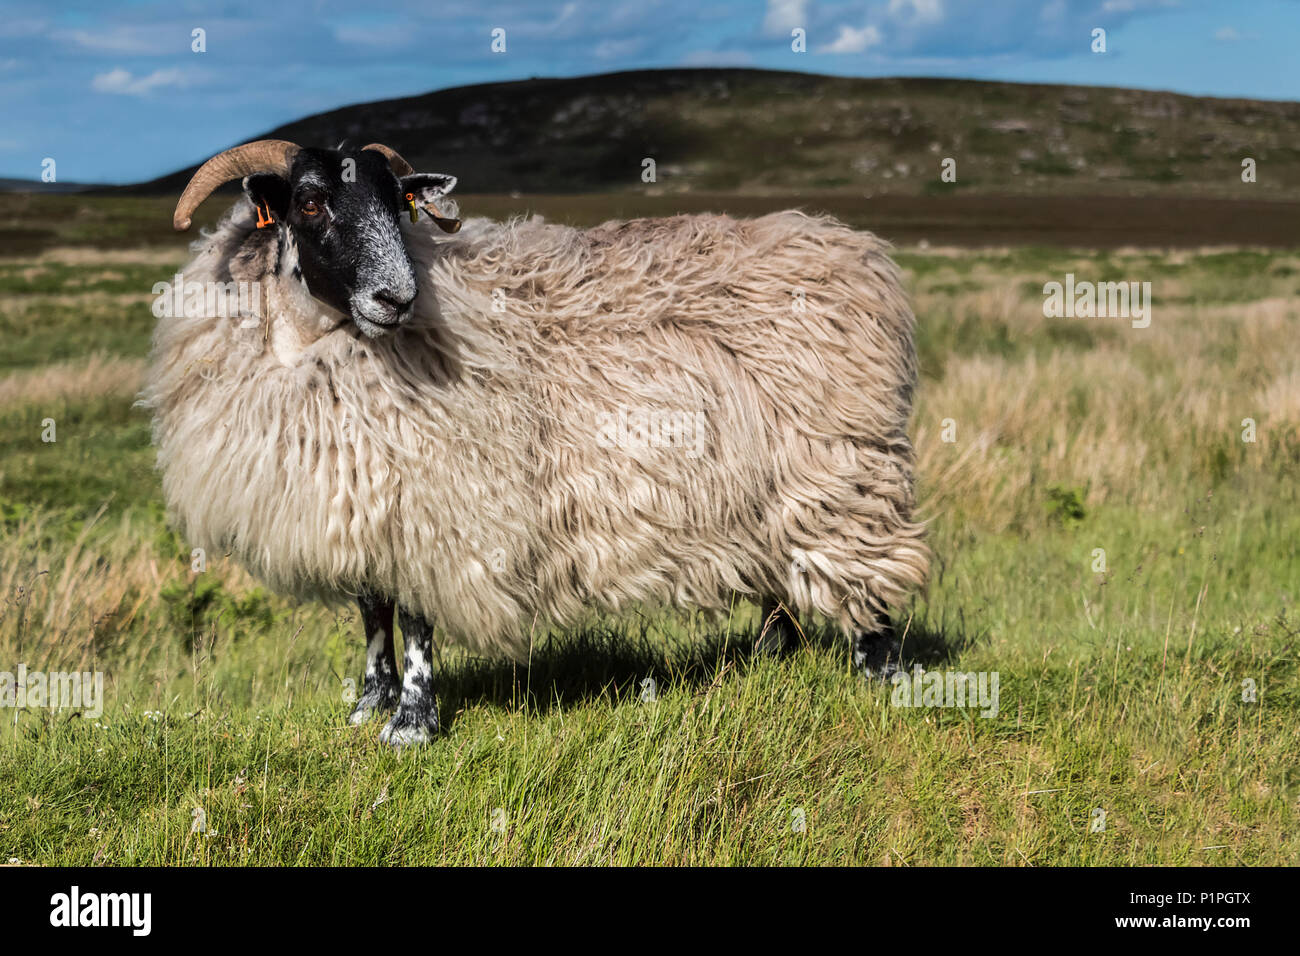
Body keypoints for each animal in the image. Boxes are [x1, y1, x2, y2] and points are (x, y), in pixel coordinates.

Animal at [143, 140, 929, 746]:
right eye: (309, 204)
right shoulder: (364, 493)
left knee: (870, 576)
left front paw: (412, 725)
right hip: (765, 479)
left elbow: (417, 617)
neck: (317, 348)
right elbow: (373, 611)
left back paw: (882, 677)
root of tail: (849, 249)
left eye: (397, 204)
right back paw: (770, 659)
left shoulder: (431, 494)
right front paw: (369, 706)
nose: (398, 298)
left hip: (839, 464)